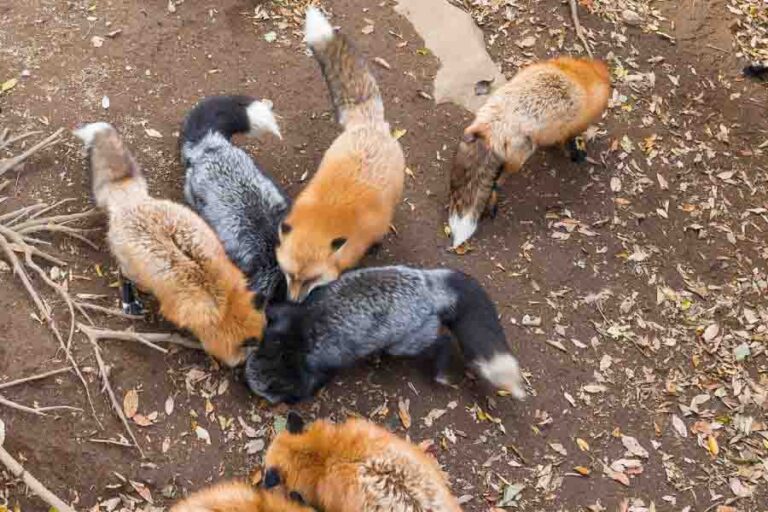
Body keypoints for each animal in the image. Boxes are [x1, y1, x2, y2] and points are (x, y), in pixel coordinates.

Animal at [244, 265, 526, 404]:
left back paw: (441, 373)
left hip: (406, 344)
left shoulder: (321, 368)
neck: (301, 334)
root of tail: (431, 286)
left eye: (273, 390)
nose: (250, 382)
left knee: (443, 341)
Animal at [448, 57, 611, 248]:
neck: (581, 78)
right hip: (520, 159)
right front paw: (574, 153)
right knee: (495, 184)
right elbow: (566, 142)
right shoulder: (569, 128)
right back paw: (492, 206)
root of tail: (494, 125)